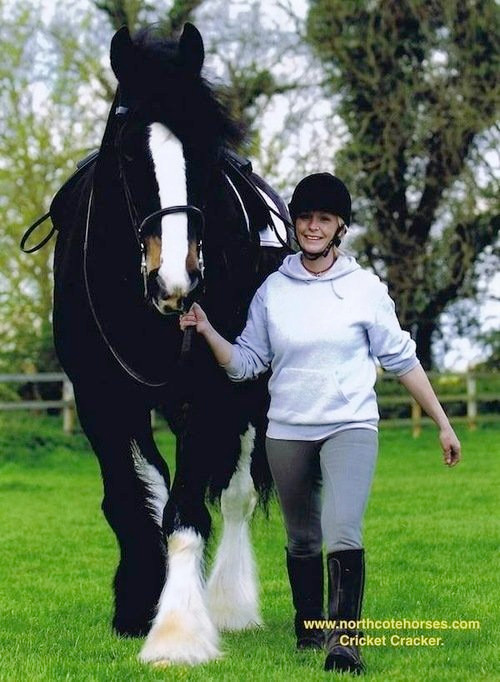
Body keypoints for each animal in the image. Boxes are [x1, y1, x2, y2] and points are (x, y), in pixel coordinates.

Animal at [45, 22, 293, 665]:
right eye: (129, 150)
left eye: (203, 150)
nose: (176, 279)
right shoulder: (101, 398)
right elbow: (135, 499)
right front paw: (138, 605)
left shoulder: (206, 395)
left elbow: (184, 513)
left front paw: (178, 631)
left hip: (250, 399)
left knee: (234, 498)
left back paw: (228, 605)